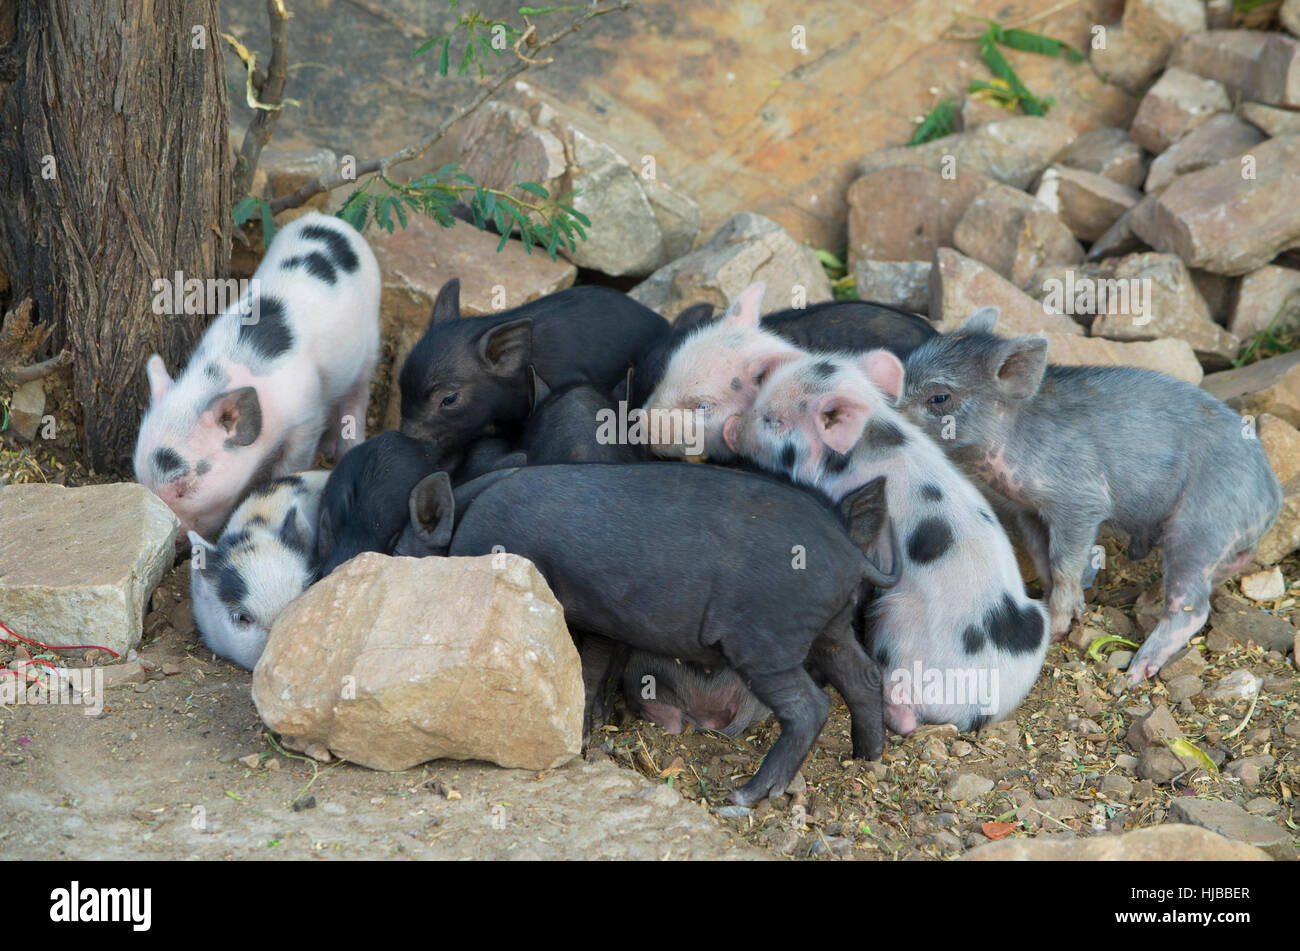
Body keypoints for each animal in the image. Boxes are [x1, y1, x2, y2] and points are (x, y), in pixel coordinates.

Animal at [134, 212, 380, 545]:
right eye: (141, 479)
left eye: (185, 487)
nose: (176, 541)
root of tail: (328, 220)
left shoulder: (306, 416)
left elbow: (293, 463)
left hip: (371, 338)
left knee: (357, 395)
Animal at [397, 462, 900, 805]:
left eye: (400, 554)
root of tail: (850, 553)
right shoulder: (602, 619)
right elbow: (594, 668)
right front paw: (592, 727)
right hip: (832, 627)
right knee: (865, 677)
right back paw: (867, 757)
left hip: (765, 641)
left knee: (810, 706)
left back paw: (744, 797)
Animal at [896, 308, 1283, 681]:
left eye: (940, 397)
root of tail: (1271, 496)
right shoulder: (1027, 510)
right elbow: (1042, 559)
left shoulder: (1079, 500)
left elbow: (1063, 564)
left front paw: (1056, 629)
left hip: (1201, 525)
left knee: (1192, 607)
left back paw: (1136, 672)